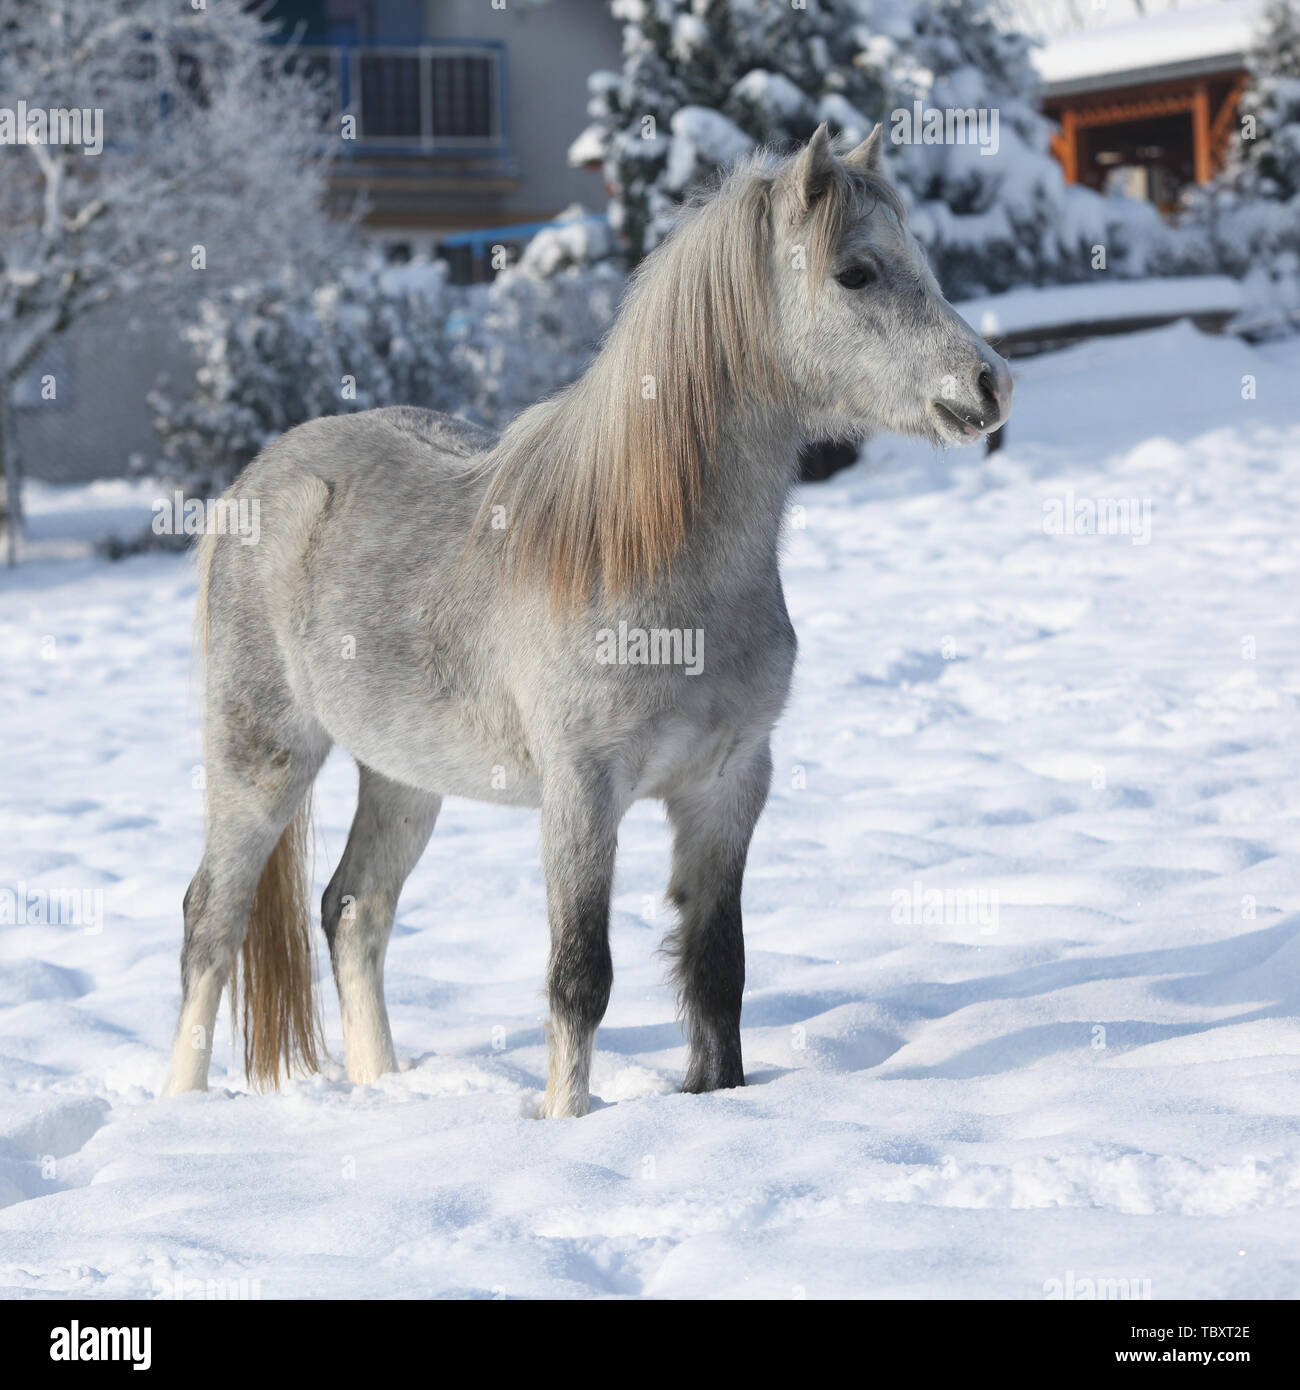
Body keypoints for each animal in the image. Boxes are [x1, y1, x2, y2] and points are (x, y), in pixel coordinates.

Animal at [162, 124, 1012, 1117]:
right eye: (856, 273)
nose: (989, 383)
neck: (642, 558)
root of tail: (255, 483)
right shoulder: (581, 792)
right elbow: (580, 979)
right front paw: (567, 1119)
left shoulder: (728, 785)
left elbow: (718, 971)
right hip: (261, 761)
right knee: (211, 924)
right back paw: (177, 1107)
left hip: (403, 773)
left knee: (355, 911)